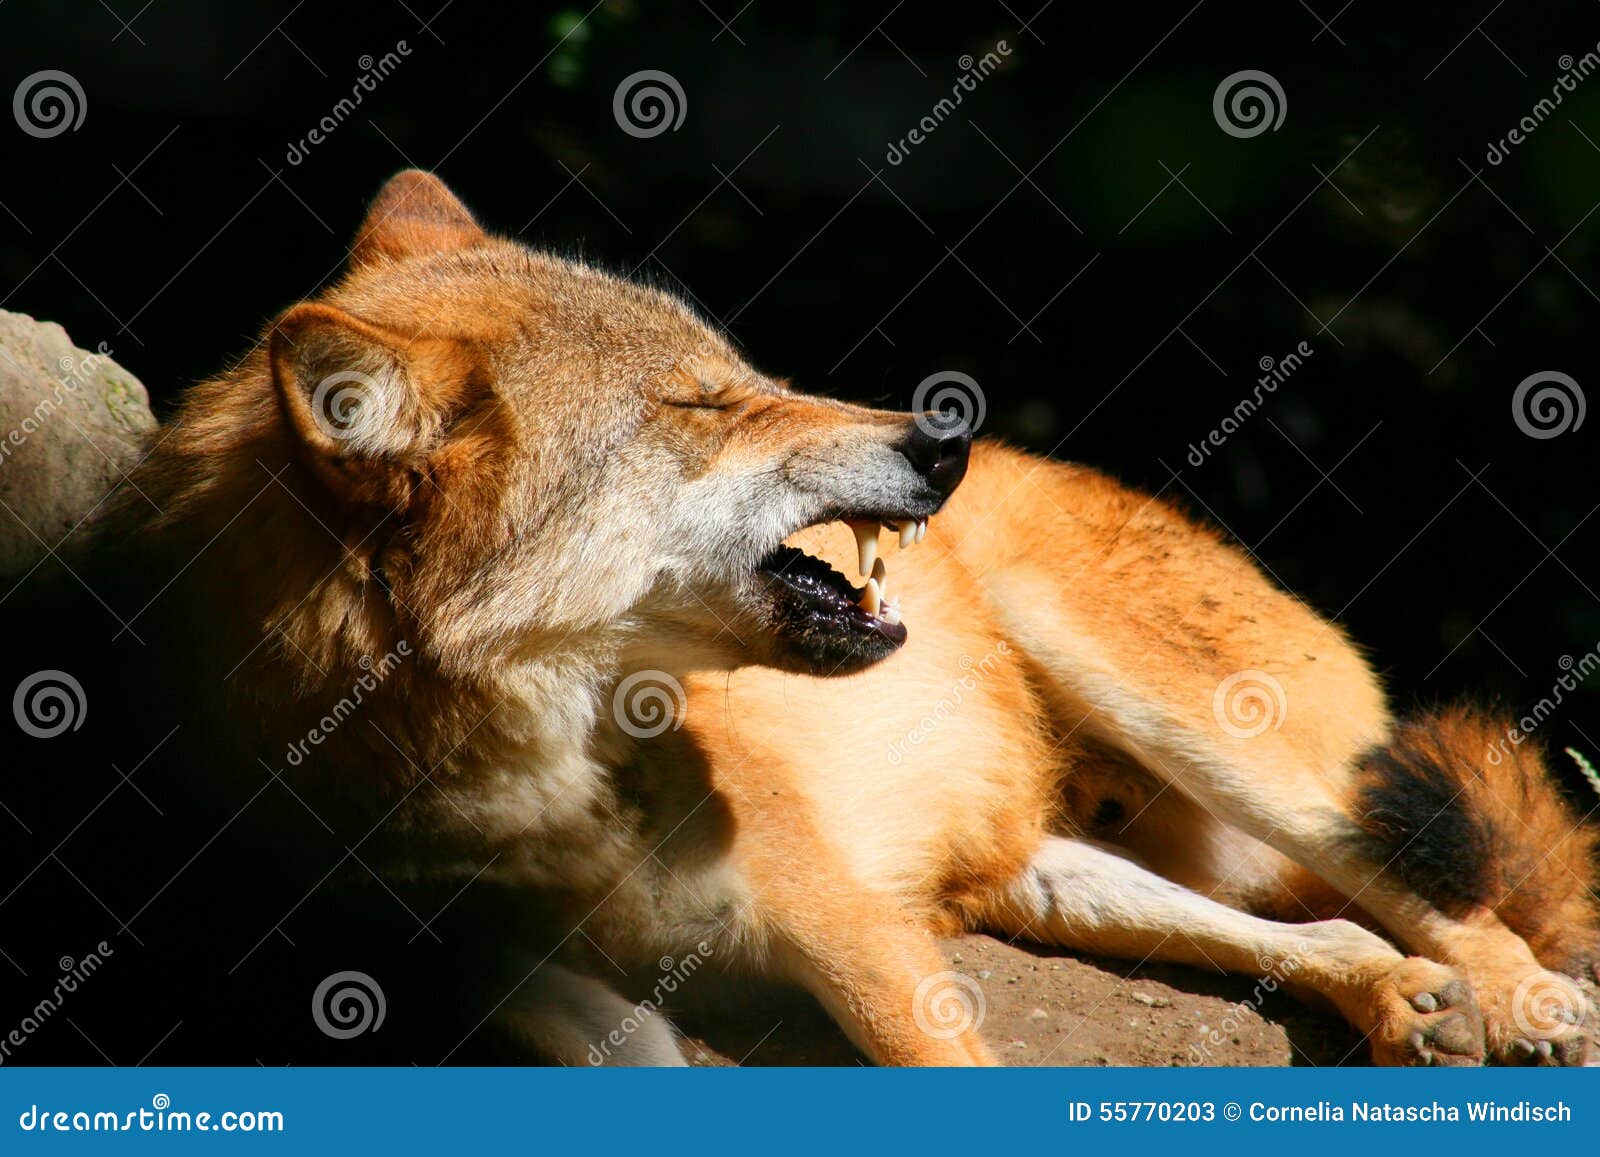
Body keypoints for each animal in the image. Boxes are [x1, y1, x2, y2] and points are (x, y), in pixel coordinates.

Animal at [7, 170, 1595, 1066]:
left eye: (745, 368)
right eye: (704, 405)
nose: (942, 436)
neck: (533, 778)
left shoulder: (852, 929)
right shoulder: (512, 989)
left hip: (1202, 740)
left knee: (1438, 892)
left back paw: (1516, 1005)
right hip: (1036, 869)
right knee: (1314, 930)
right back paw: (1411, 1009)